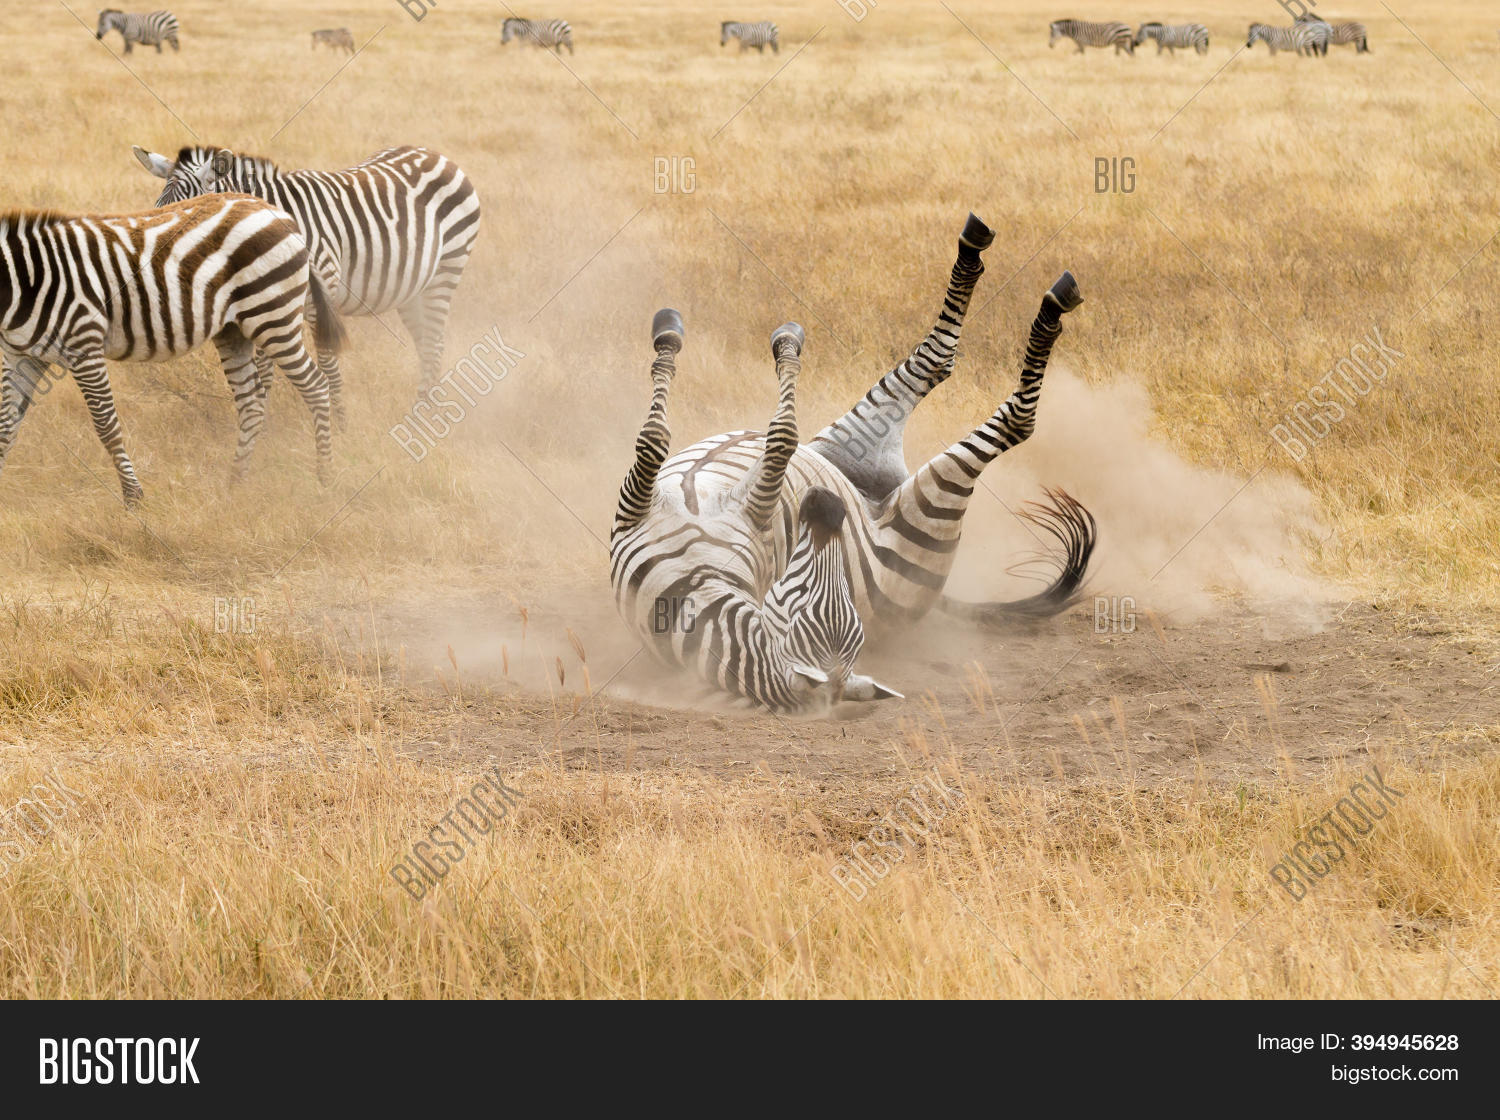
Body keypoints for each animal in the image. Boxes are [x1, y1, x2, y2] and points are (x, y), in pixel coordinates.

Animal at [0, 195, 343, 506]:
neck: (26, 281)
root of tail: (278, 213)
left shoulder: (83, 343)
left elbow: (106, 424)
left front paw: (133, 498)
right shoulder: (23, 355)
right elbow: (6, 425)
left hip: (272, 315)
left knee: (316, 386)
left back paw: (324, 479)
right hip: (234, 330)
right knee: (252, 402)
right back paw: (235, 484)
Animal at [132, 145, 481, 418]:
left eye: (188, 218)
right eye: (157, 213)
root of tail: (435, 154)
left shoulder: (318, 294)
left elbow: (327, 363)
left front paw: (340, 424)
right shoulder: (263, 299)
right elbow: (265, 369)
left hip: (446, 271)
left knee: (434, 343)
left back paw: (424, 411)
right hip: (413, 290)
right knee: (427, 342)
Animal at [611, 214, 1095, 714]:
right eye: (811, 596)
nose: (826, 504)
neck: (694, 586)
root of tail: (873, 499)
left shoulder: (717, 503)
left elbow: (767, 436)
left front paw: (763, 346)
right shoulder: (643, 507)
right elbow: (685, 439)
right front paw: (682, 341)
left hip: (869, 457)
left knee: (964, 379)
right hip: (881, 464)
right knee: (959, 375)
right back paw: (1035, 289)